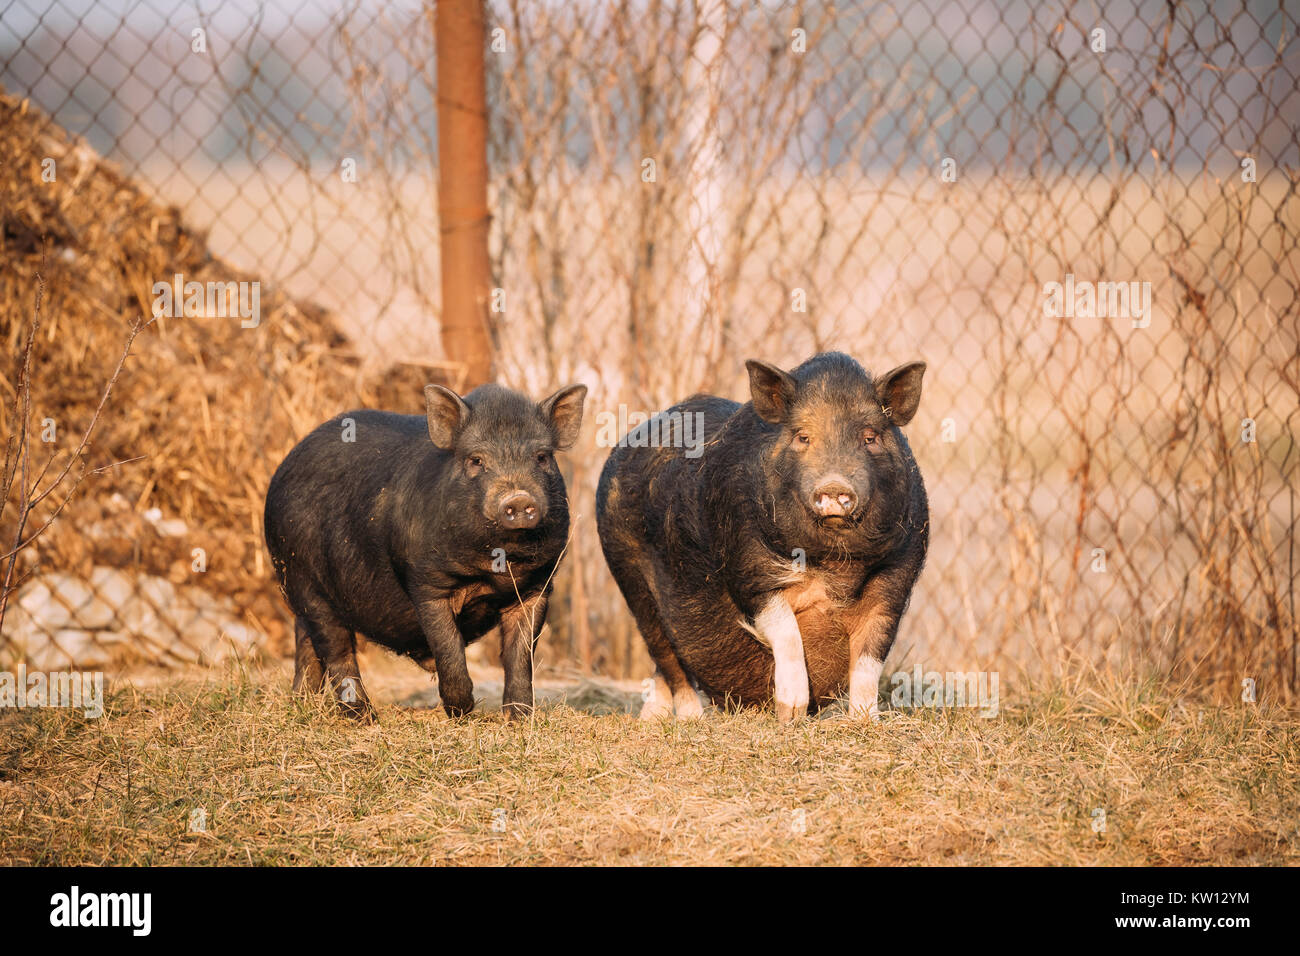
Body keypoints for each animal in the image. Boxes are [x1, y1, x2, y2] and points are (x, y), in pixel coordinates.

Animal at [264, 381, 587, 721]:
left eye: (541, 457)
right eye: (475, 459)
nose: (519, 498)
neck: (497, 567)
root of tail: (283, 468)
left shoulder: (537, 587)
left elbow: (521, 655)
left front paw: (519, 717)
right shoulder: (426, 582)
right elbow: (447, 644)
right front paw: (461, 711)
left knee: (307, 644)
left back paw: (301, 702)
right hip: (301, 578)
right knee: (337, 649)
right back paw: (364, 717)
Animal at [596, 352, 927, 722]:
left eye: (870, 438)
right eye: (802, 437)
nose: (834, 486)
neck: (832, 566)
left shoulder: (895, 582)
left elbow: (870, 658)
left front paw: (865, 721)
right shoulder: (748, 570)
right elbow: (786, 632)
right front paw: (790, 713)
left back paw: (652, 718)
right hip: (630, 577)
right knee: (668, 657)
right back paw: (692, 718)